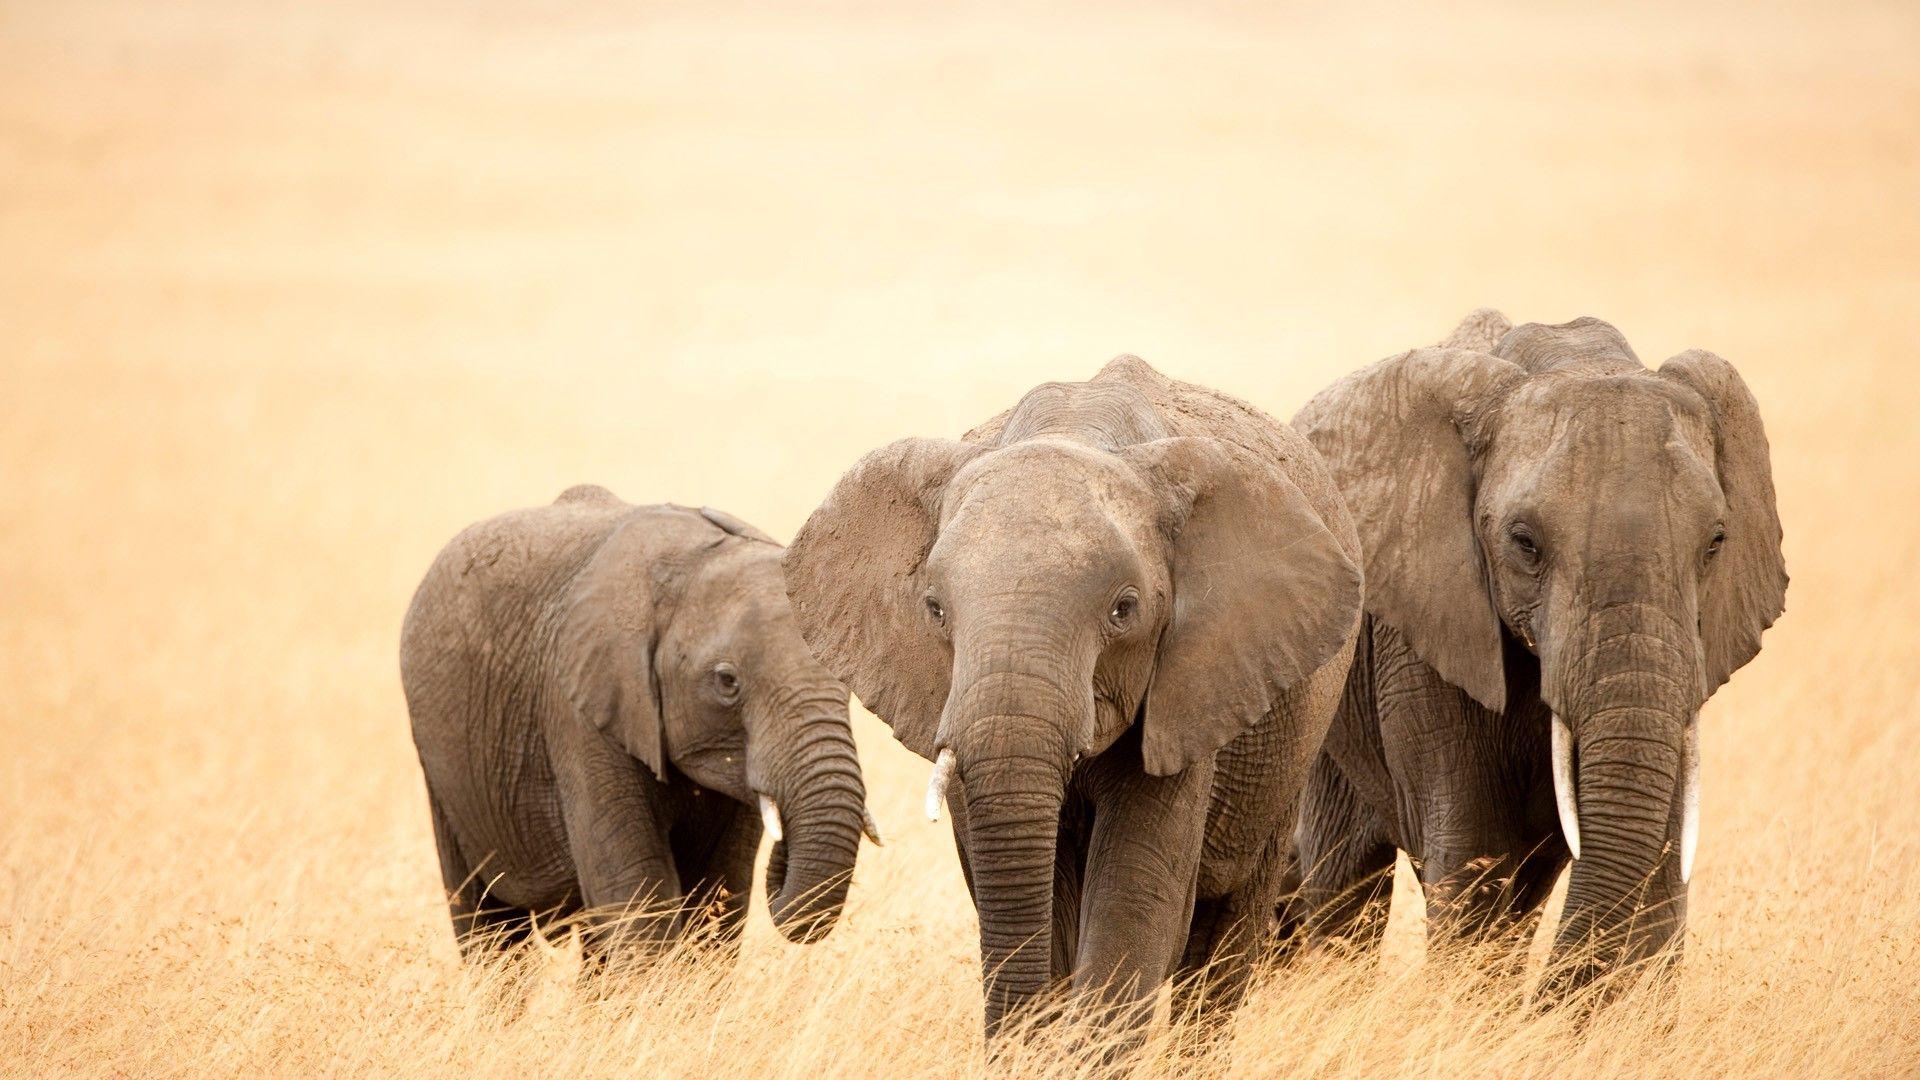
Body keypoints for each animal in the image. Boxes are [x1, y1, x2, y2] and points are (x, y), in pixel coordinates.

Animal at [400, 487, 877, 964]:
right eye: (727, 681)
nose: (783, 864)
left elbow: (718, 898)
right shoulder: (581, 708)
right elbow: (636, 895)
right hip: (442, 769)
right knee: (489, 925)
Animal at [1282, 310, 1786, 994]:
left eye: (1715, 543)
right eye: (1524, 543)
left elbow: (1658, 864)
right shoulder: (1423, 640)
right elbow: (1475, 857)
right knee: (1343, 881)